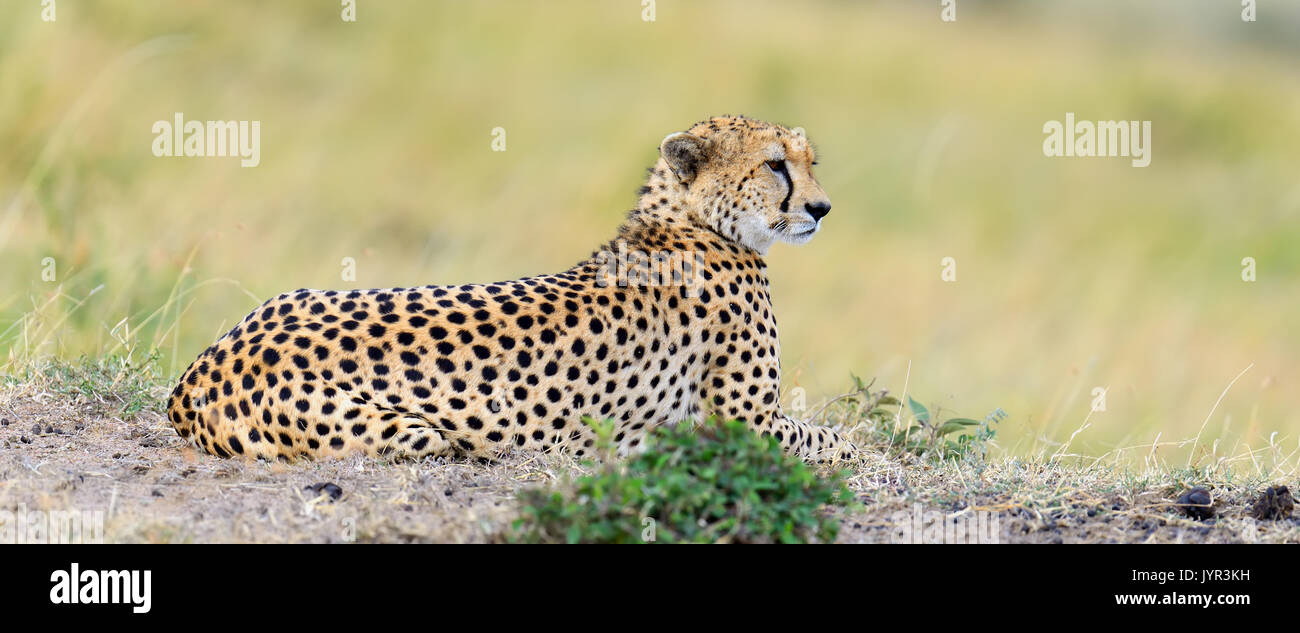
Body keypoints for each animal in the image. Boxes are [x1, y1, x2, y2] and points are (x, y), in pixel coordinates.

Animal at [166, 115, 853, 463]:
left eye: (811, 161)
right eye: (775, 164)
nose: (821, 209)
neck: (689, 221)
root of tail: (196, 377)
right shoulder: (745, 424)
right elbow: (831, 440)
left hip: (292, 294)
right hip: (416, 434)